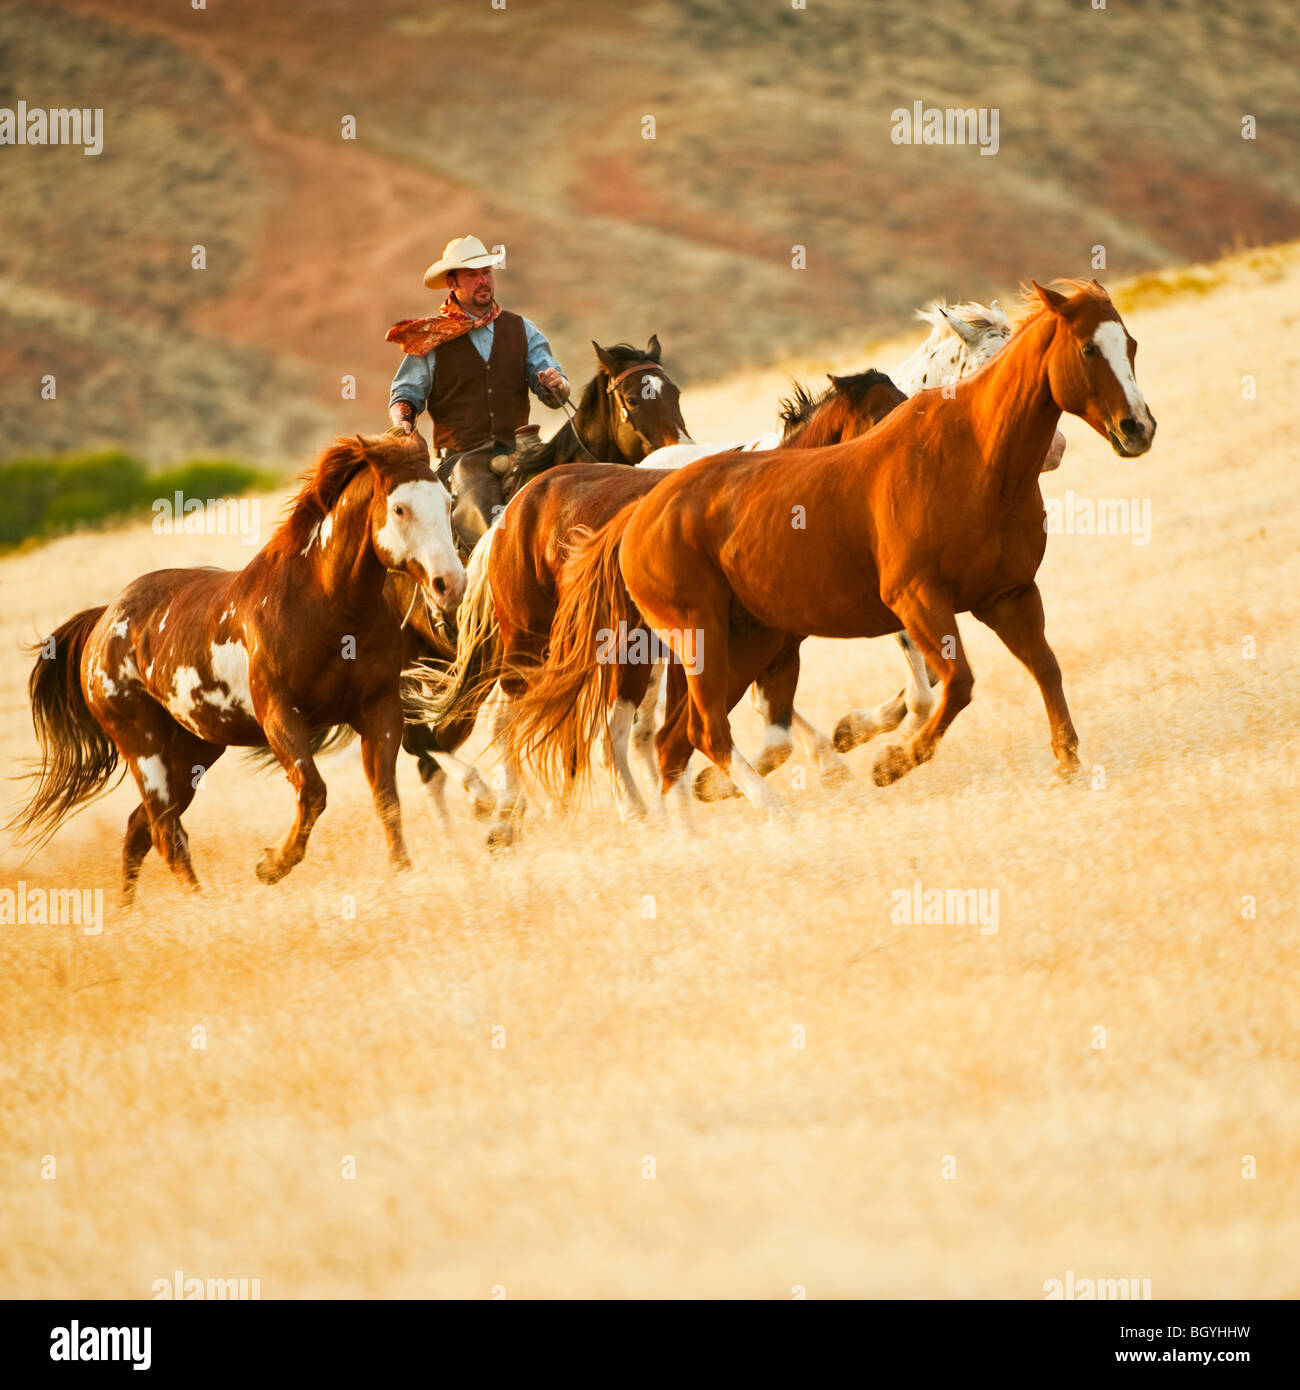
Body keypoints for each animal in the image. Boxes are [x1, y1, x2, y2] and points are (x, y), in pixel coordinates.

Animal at [9, 432, 465, 901]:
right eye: (400, 508)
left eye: (447, 501)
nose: (451, 584)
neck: (326, 607)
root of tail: (103, 621)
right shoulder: (280, 716)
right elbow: (313, 791)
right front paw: (271, 866)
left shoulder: (379, 709)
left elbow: (386, 796)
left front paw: (403, 873)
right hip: (141, 746)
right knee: (164, 831)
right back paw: (199, 903)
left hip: (194, 749)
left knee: (141, 828)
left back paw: (129, 911)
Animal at [408, 369, 907, 845]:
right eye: (879, 417)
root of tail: (509, 515)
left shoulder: (767, 649)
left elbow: (763, 732)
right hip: (532, 646)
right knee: (512, 720)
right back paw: (511, 818)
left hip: (625, 654)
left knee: (608, 730)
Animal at [504, 280, 1155, 818]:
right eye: (1087, 351)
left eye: (1131, 344)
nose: (1136, 428)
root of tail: (635, 506)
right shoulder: (910, 600)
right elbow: (934, 691)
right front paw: (878, 753)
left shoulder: (1000, 594)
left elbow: (1020, 670)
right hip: (676, 641)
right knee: (641, 729)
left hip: (718, 640)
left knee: (668, 733)